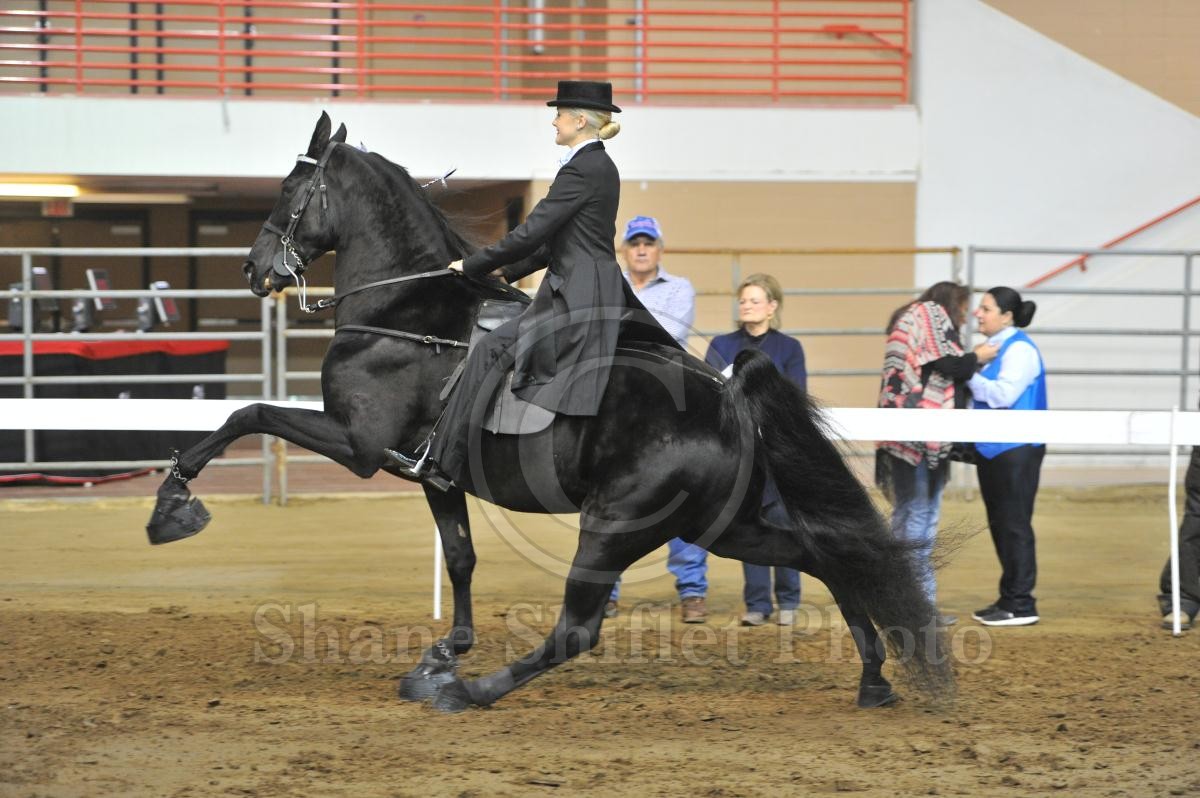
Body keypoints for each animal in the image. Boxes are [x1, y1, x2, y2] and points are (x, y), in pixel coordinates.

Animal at [147, 112, 954, 712]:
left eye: (291, 190)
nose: (254, 270)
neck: (404, 312)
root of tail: (727, 395)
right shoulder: (434, 475)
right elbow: (462, 560)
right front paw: (443, 652)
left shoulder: (360, 445)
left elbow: (249, 414)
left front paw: (172, 505)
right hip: (722, 525)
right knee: (823, 555)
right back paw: (875, 678)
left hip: (616, 525)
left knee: (577, 631)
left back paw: (474, 694)